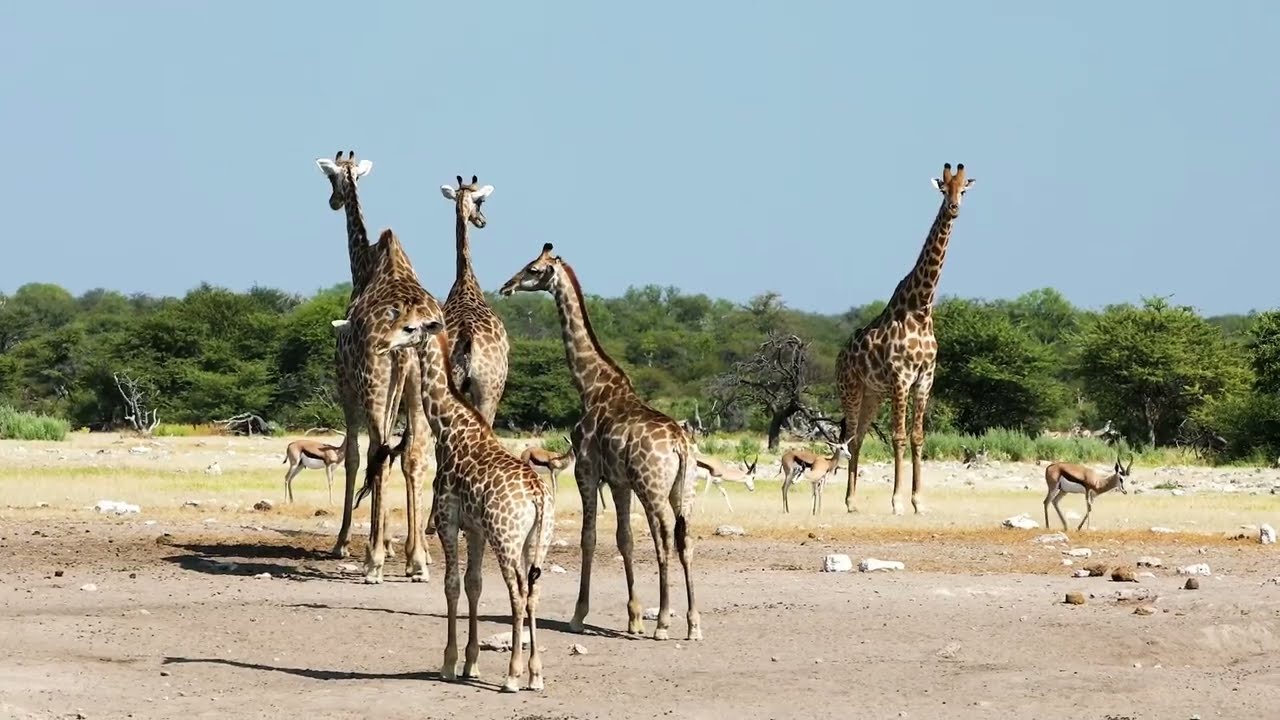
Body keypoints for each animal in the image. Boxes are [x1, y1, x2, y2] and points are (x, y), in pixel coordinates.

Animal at [315, 150, 432, 581]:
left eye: (330, 178)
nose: (333, 201)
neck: (365, 264)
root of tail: (411, 338)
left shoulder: (345, 385)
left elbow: (352, 455)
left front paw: (344, 543)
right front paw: (404, 550)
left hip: (374, 384)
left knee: (379, 453)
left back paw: (374, 560)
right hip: (419, 386)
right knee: (412, 455)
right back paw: (417, 559)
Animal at [337, 249, 553, 693]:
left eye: (410, 327)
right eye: (398, 321)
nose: (382, 344)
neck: (452, 424)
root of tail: (539, 498)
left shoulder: (449, 519)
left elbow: (451, 585)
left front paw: (450, 663)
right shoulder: (475, 529)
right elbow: (473, 584)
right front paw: (470, 663)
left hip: (508, 539)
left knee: (518, 593)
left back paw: (512, 676)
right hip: (536, 542)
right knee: (534, 591)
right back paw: (536, 674)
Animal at [499, 243, 700, 642]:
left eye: (533, 269)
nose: (506, 285)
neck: (590, 386)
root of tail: (680, 445)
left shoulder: (586, 471)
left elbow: (588, 537)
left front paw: (579, 615)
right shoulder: (619, 482)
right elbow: (624, 539)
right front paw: (634, 617)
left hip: (652, 488)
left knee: (664, 539)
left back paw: (664, 622)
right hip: (681, 490)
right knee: (684, 540)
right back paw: (693, 622)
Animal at [836, 163, 976, 515]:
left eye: (963, 190)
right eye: (943, 189)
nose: (954, 208)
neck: (922, 308)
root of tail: (839, 356)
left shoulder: (925, 379)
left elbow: (917, 437)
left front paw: (918, 500)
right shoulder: (901, 377)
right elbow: (898, 436)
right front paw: (898, 501)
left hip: (873, 394)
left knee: (859, 436)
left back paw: (853, 501)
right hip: (851, 389)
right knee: (851, 436)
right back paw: (849, 500)